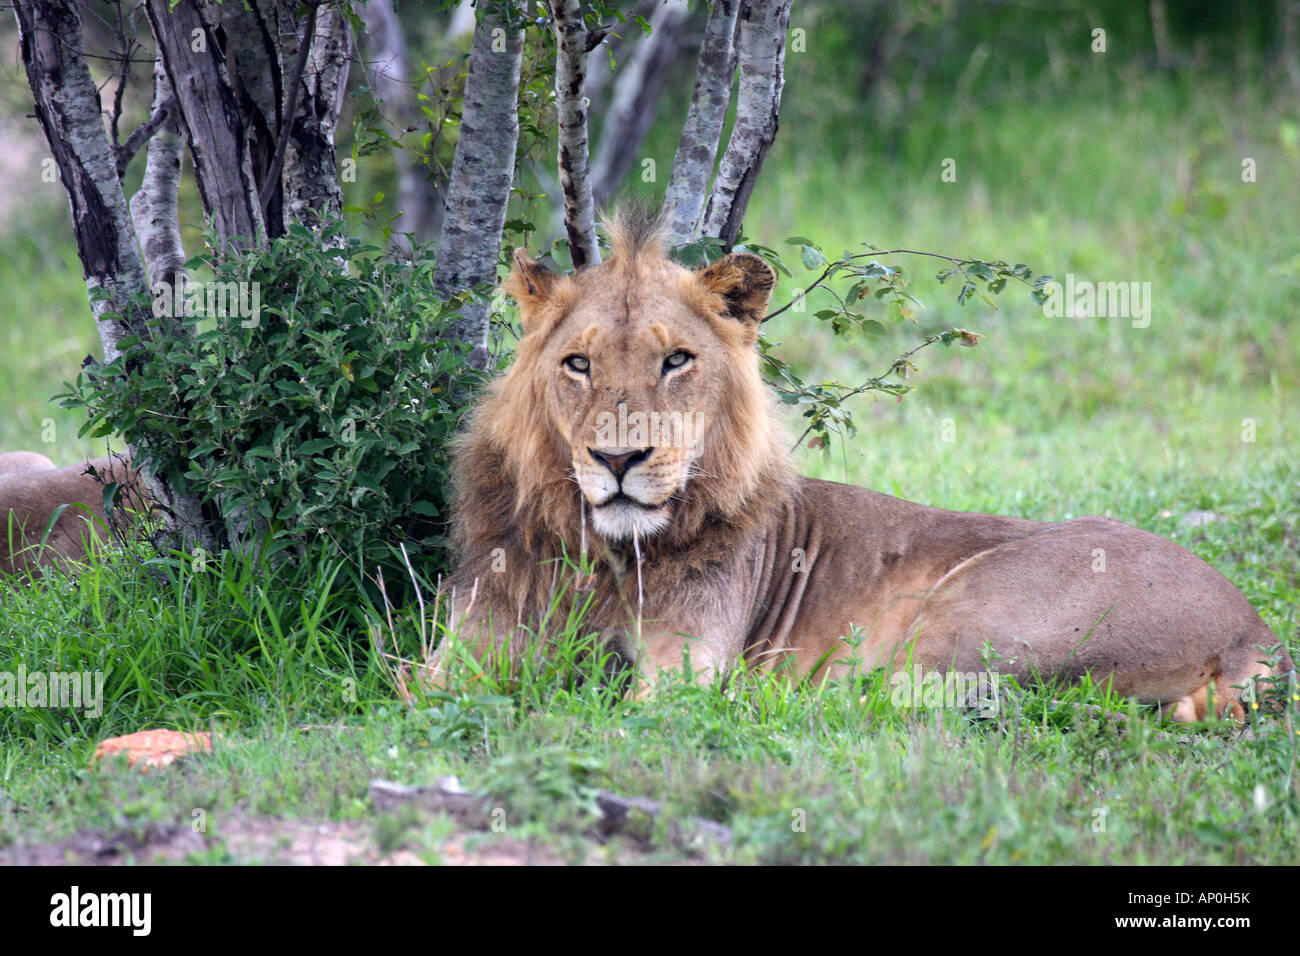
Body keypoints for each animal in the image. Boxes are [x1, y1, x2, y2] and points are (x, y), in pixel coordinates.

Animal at [434, 212, 1293, 721]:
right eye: (577, 365)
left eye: (676, 360)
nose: (617, 457)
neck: (604, 557)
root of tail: (1258, 631)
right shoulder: (467, 648)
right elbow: (426, 695)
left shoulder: (689, 671)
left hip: (965, 614)